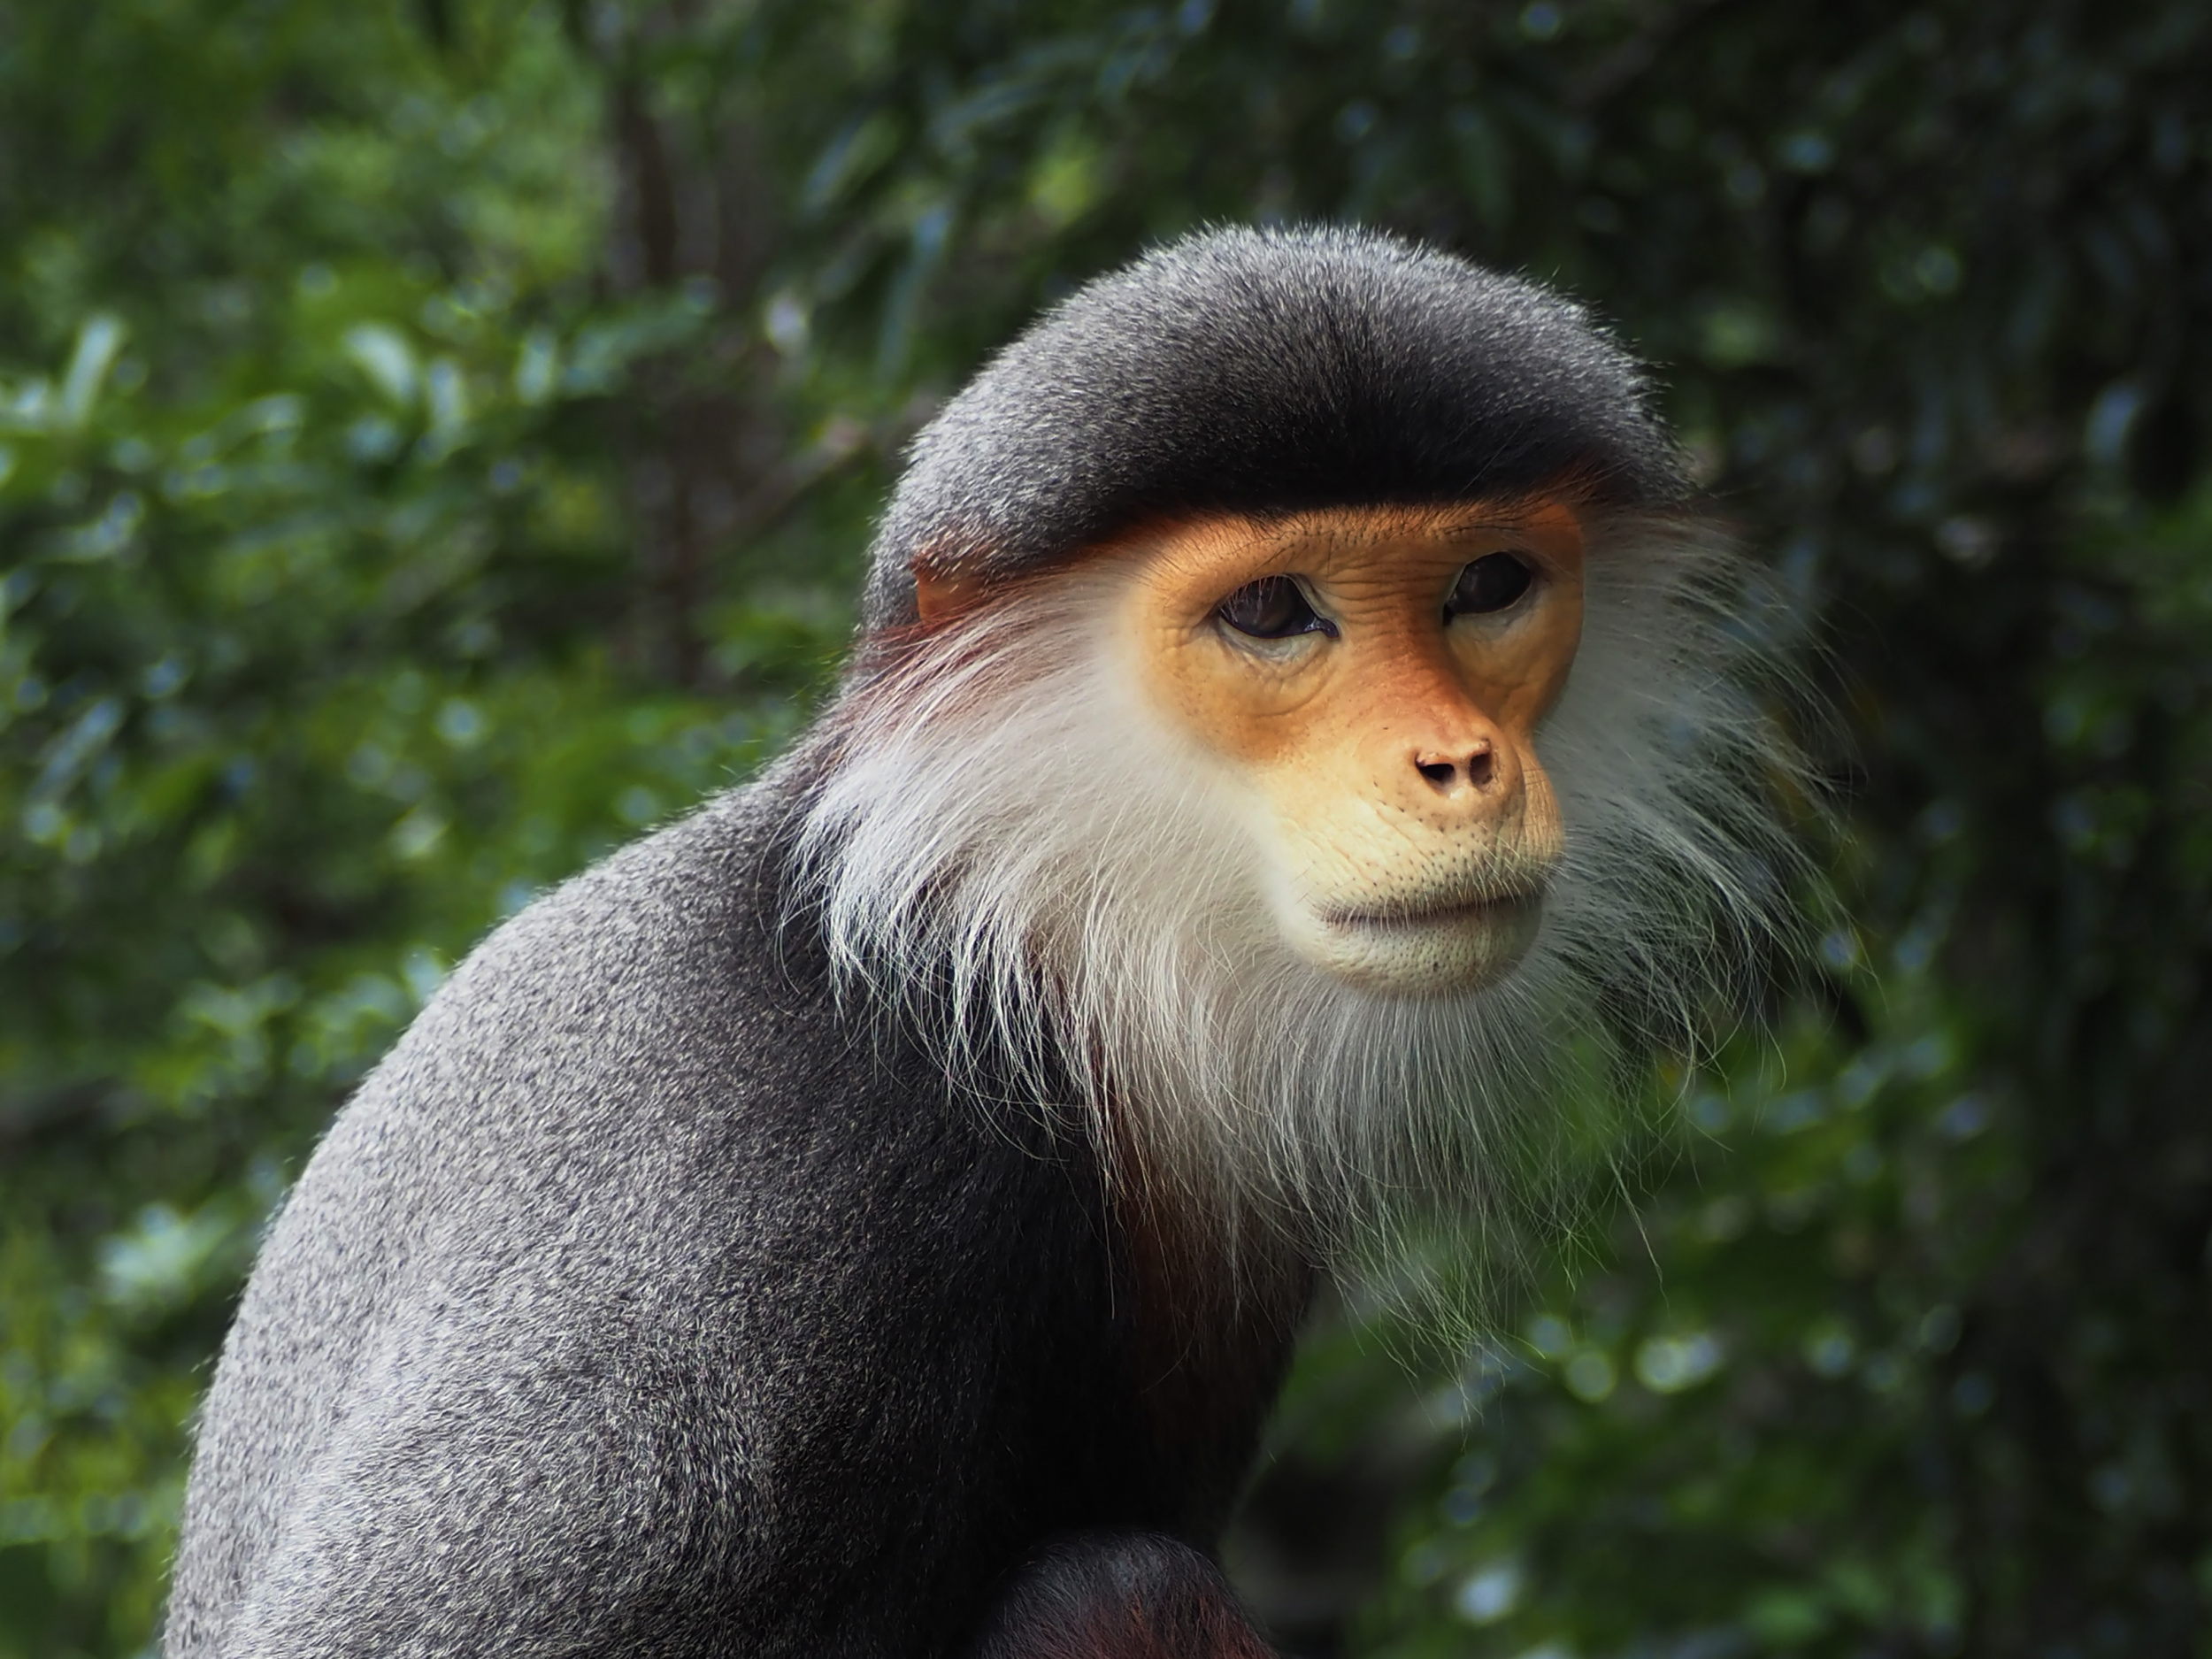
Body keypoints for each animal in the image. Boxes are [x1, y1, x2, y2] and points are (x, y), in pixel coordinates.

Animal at [162, 226, 1794, 1658]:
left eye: (1487, 588)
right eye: (1276, 611)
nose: (1458, 763)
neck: (996, 966)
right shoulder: (760, 1217)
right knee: (1117, 1583)